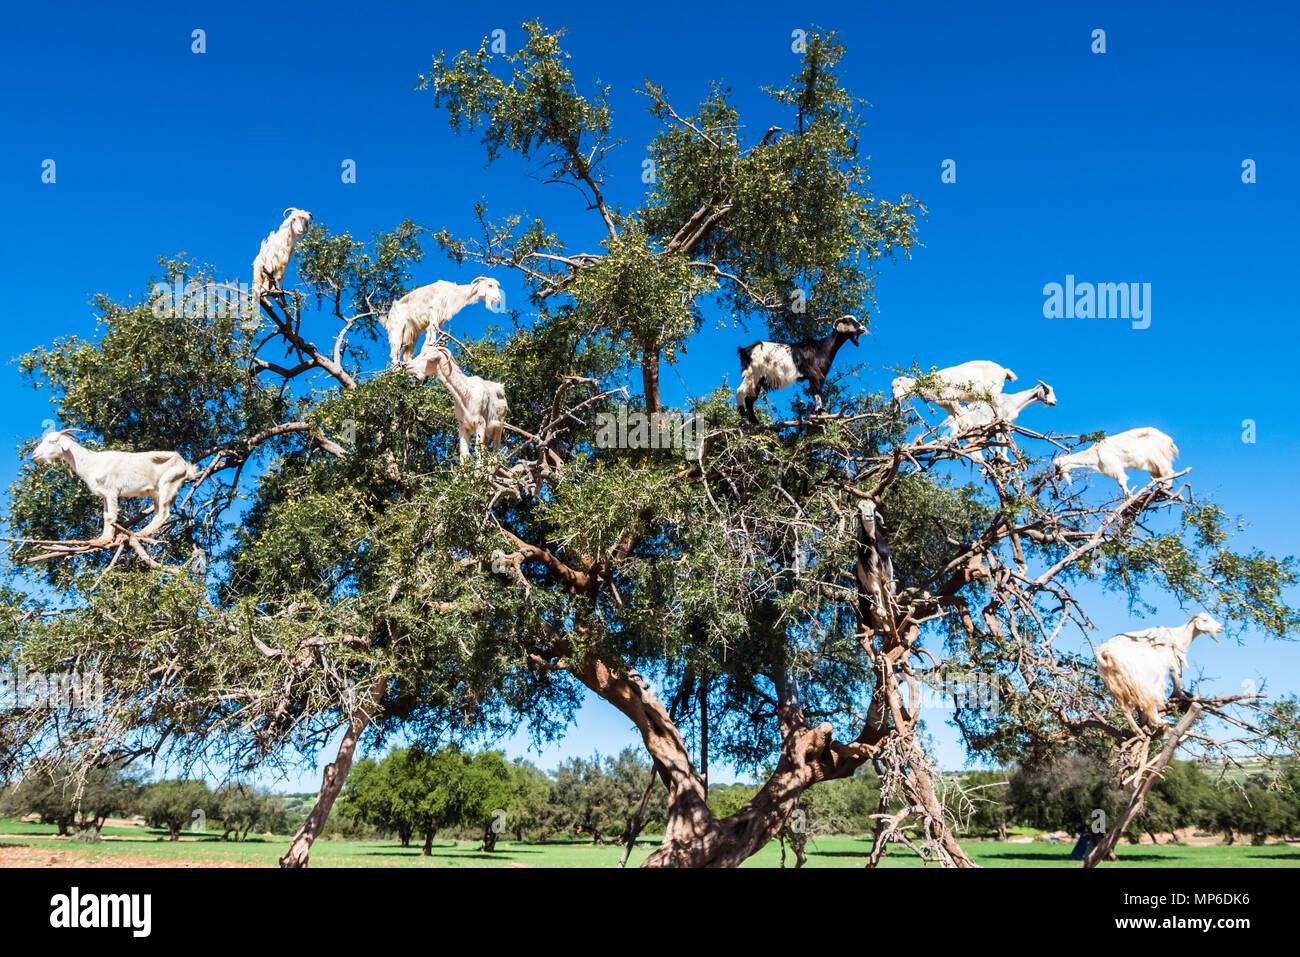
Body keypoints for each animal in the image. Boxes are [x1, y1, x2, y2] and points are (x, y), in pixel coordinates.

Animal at [30, 429, 199, 542]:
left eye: (52, 441)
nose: (34, 455)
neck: (92, 463)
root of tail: (185, 465)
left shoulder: (112, 492)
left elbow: (112, 517)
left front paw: (106, 540)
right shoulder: (104, 495)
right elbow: (106, 516)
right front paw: (100, 540)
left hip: (168, 485)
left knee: (164, 513)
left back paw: (139, 534)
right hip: (155, 493)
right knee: (158, 513)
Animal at [735, 315, 866, 423]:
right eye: (848, 321)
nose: (863, 329)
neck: (822, 348)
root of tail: (744, 350)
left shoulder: (818, 377)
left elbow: (817, 393)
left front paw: (819, 412)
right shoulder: (814, 374)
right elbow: (817, 393)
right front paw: (819, 411)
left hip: (758, 379)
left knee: (750, 399)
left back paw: (754, 421)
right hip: (752, 374)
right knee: (740, 391)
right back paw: (744, 416)